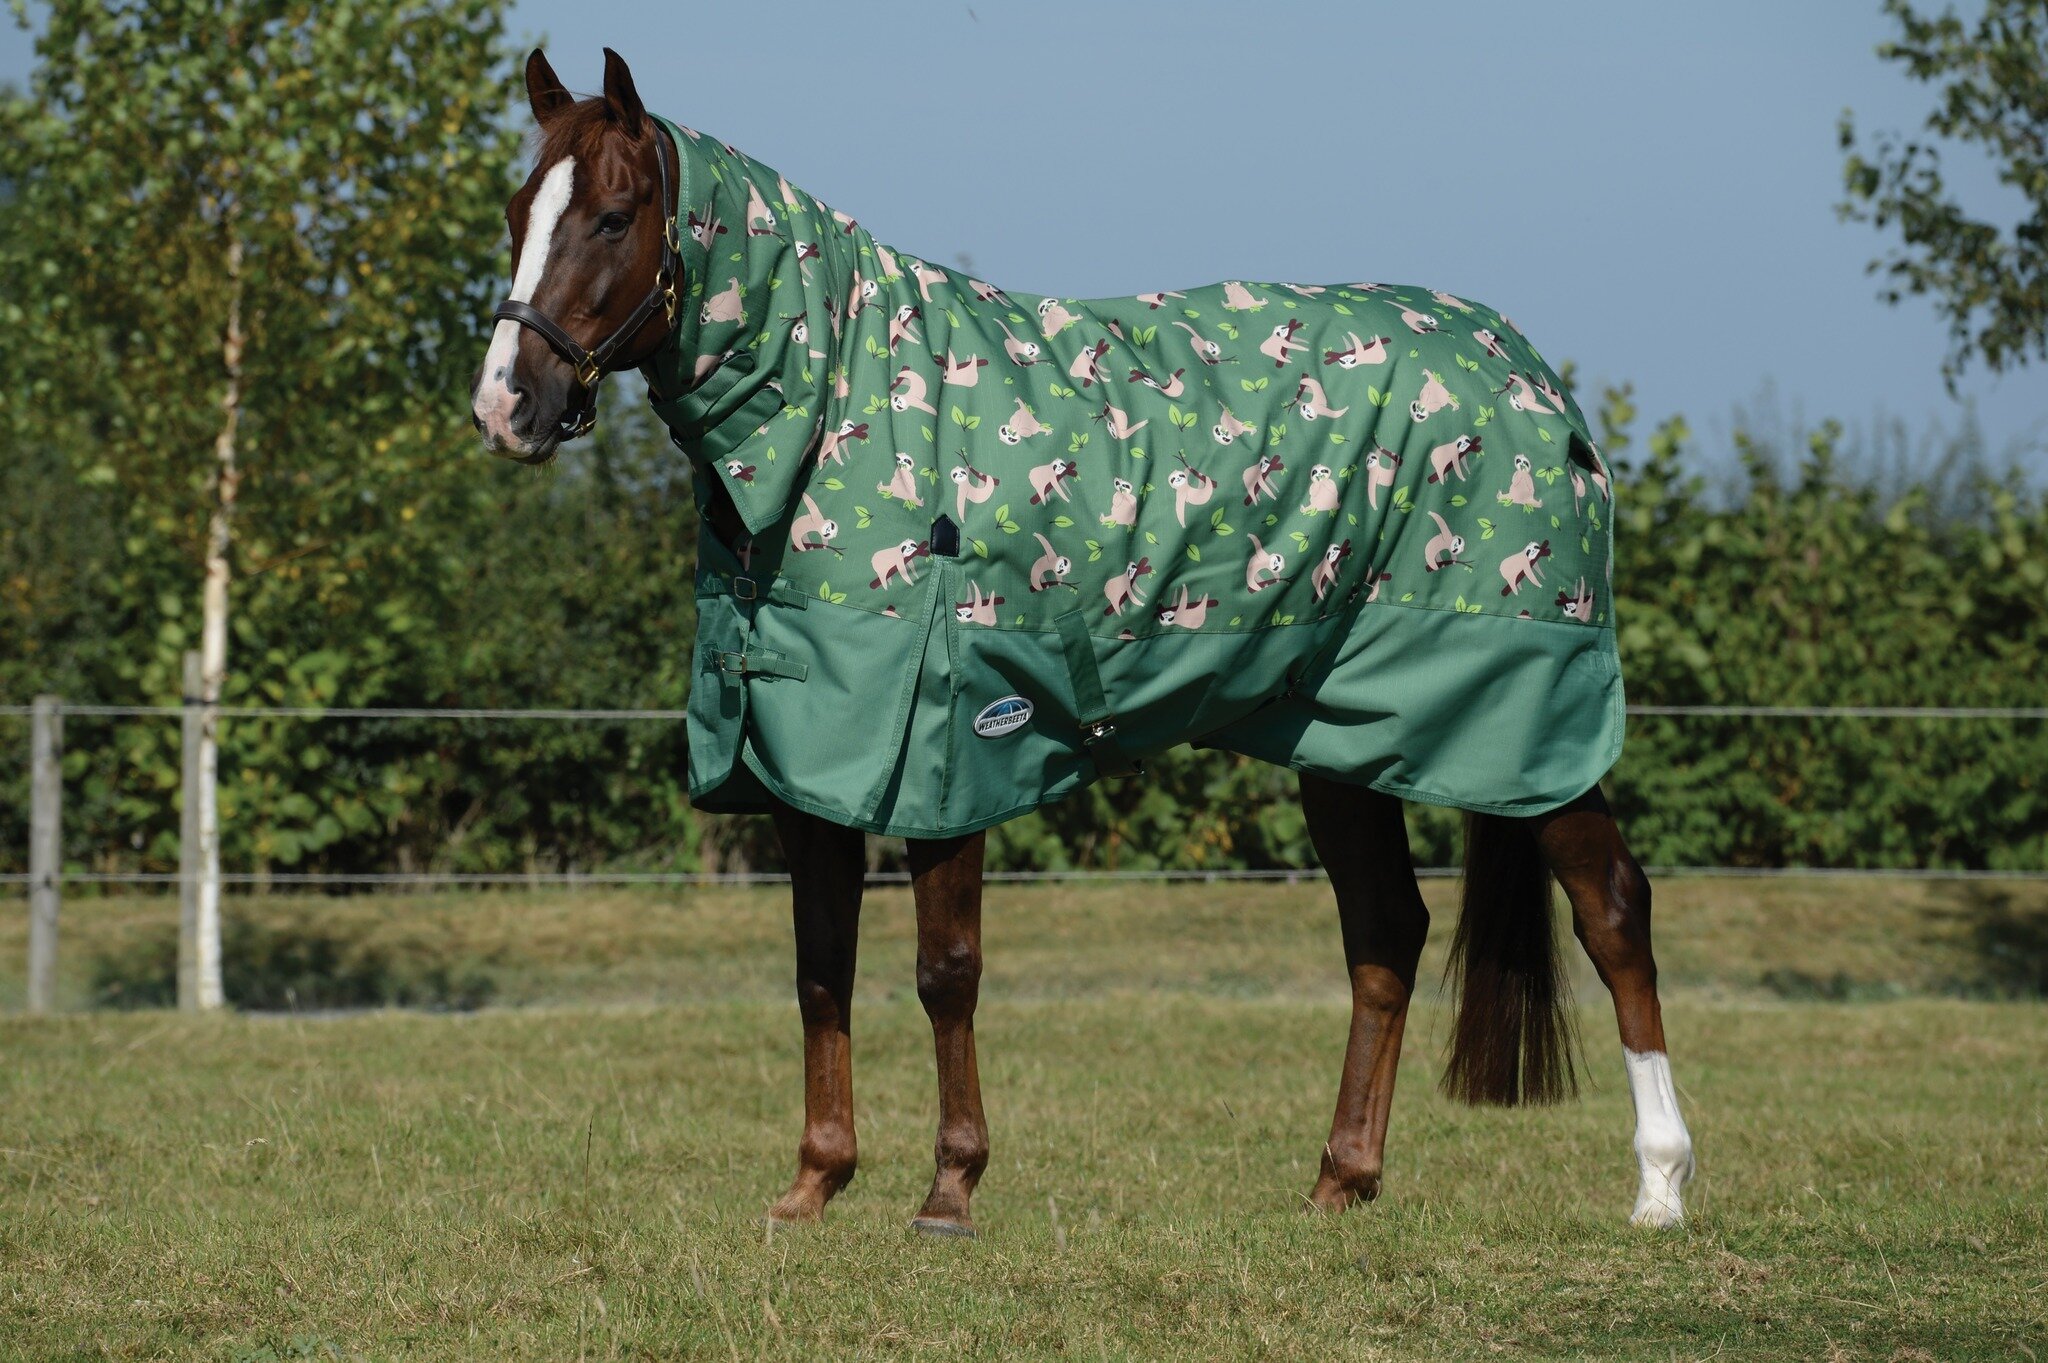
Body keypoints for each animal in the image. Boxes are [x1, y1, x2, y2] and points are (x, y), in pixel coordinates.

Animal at [471, 48, 1695, 1236]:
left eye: (614, 216)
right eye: (519, 210)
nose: (505, 405)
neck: (835, 417)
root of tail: (1529, 380)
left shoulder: (952, 747)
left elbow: (945, 971)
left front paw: (949, 1190)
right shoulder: (804, 756)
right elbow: (822, 969)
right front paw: (814, 1183)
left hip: (1527, 728)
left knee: (1611, 910)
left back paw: (1658, 1186)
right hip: (1342, 738)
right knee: (1386, 932)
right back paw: (1340, 1183)